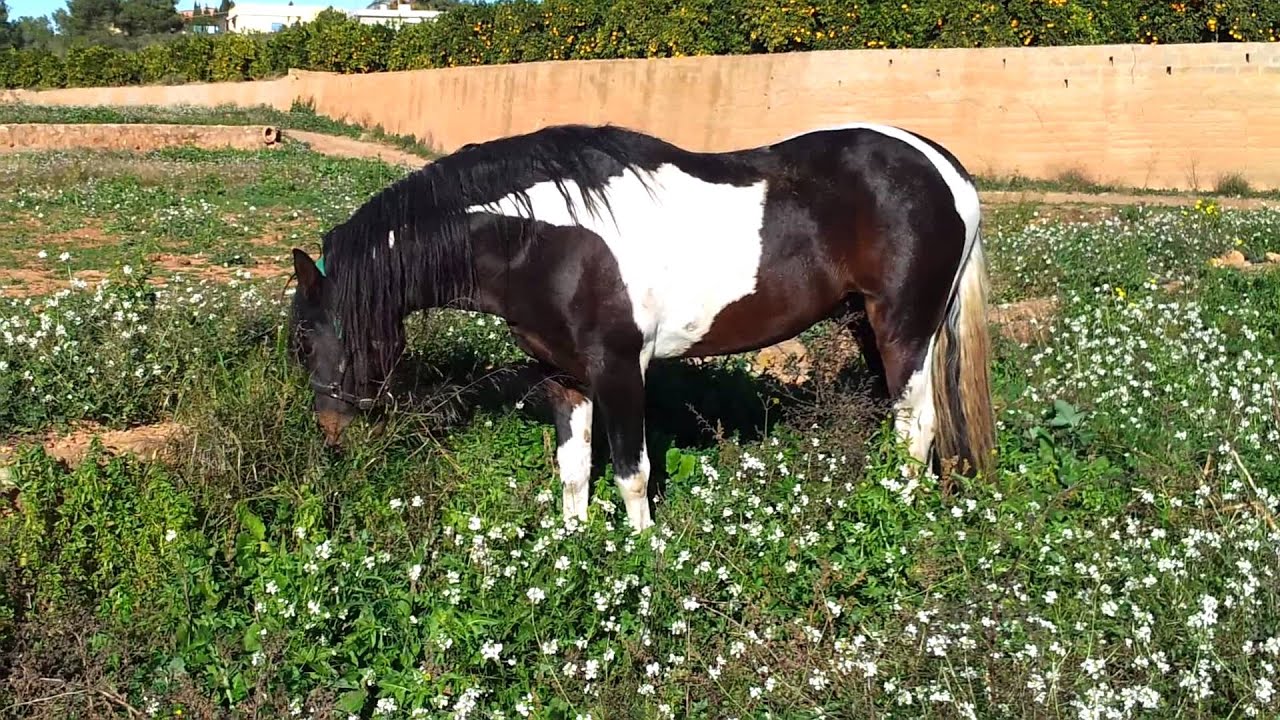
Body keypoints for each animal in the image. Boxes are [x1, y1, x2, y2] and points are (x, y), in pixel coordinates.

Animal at [287, 121, 996, 533]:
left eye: (319, 337)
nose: (332, 435)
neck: (545, 238)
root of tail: (946, 168)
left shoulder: (620, 369)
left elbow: (632, 470)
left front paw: (644, 557)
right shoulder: (563, 376)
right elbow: (573, 470)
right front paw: (573, 548)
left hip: (904, 327)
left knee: (919, 427)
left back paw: (896, 514)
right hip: (863, 323)